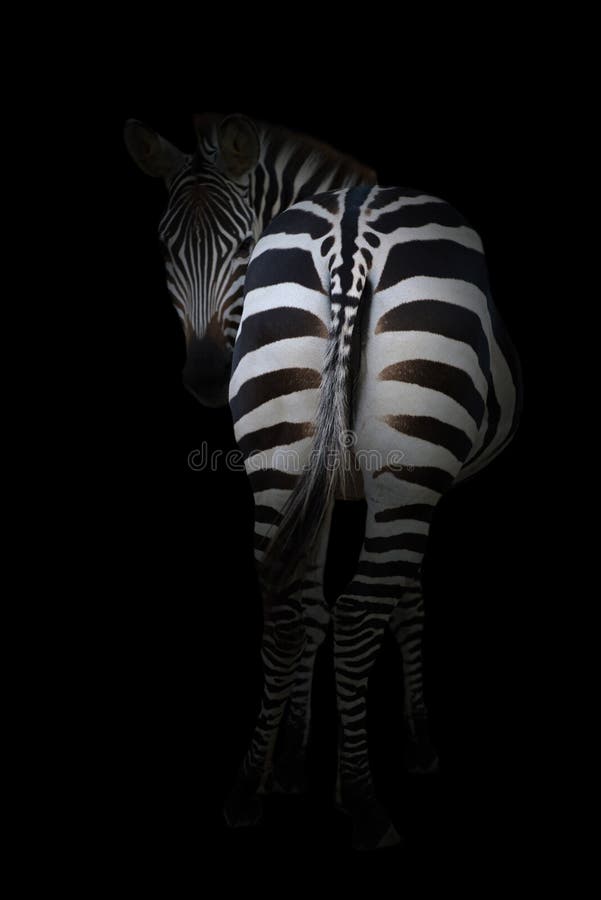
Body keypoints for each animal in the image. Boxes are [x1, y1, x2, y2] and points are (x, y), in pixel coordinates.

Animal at [125, 116, 522, 849]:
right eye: (166, 250)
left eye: (238, 246)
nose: (203, 378)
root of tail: (349, 230)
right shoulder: (410, 487)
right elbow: (401, 606)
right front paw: (405, 749)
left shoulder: (326, 490)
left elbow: (310, 609)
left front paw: (291, 760)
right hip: (410, 467)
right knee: (360, 612)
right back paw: (365, 802)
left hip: (280, 446)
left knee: (285, 609)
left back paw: (248, 786)